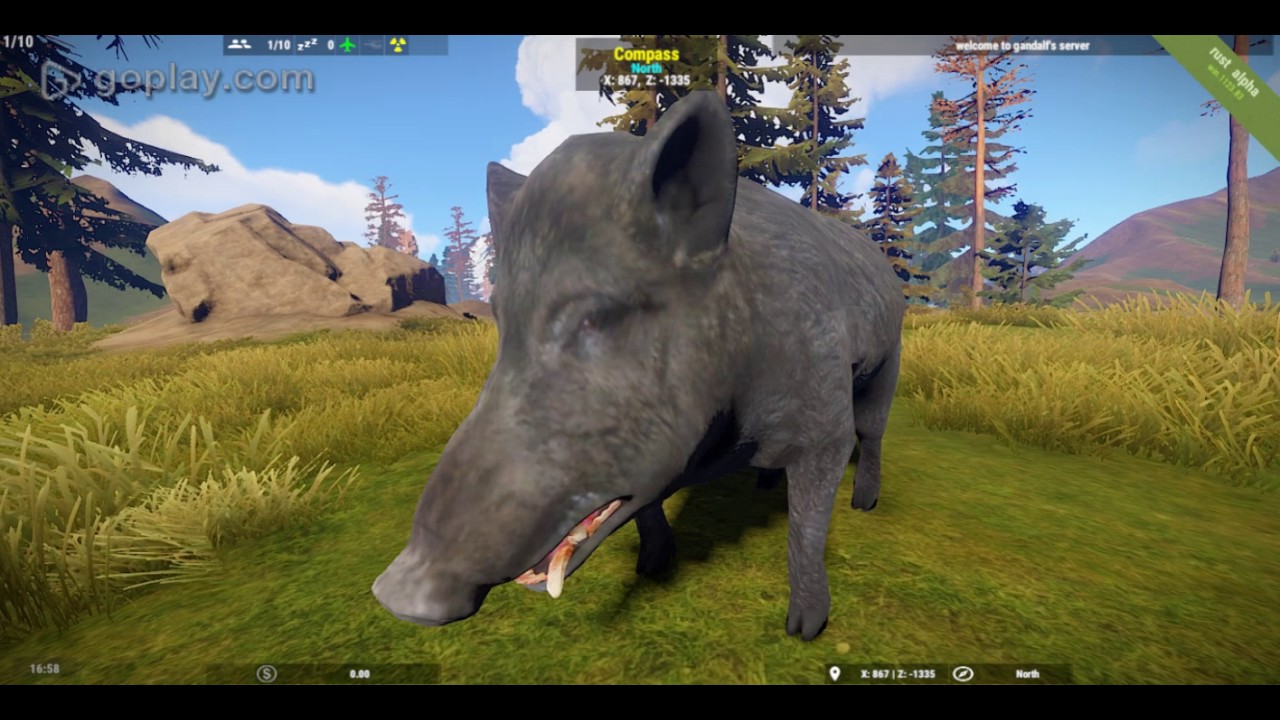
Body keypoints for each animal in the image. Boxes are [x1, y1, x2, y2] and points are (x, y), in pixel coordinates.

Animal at [372, 91, 905, 641]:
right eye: (501, 318)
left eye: (594, 316)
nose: (394, 591)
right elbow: (646, 503)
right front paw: (650, 568)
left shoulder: (825, 424)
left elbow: (806, 527)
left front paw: (803, 630)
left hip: (890, 358)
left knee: (873, 433)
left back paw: (864, 504)